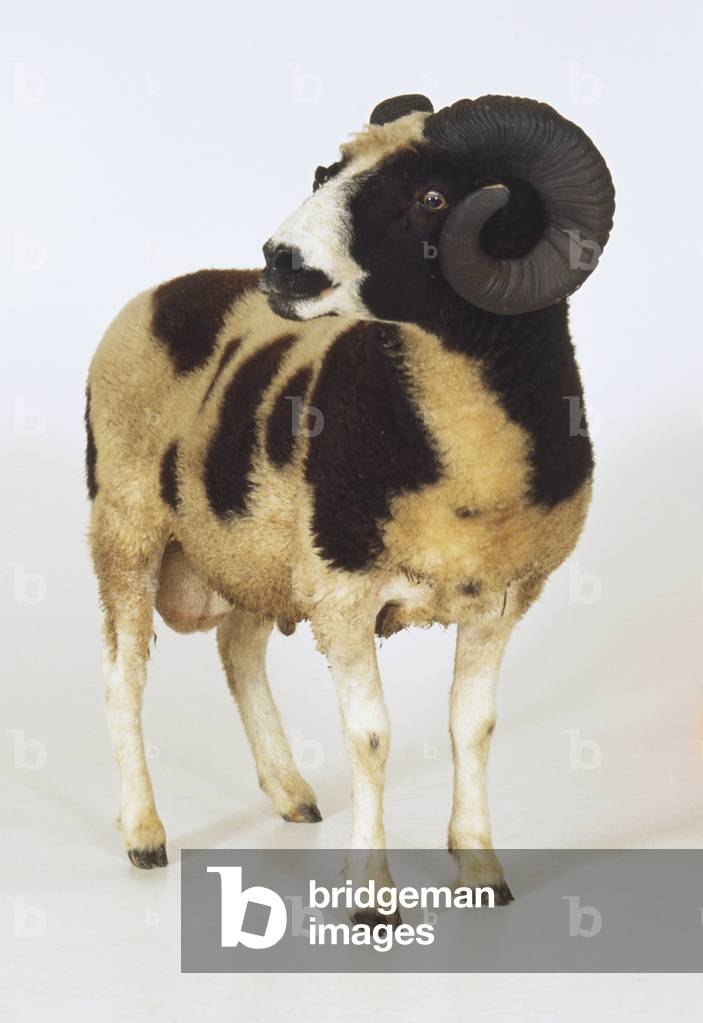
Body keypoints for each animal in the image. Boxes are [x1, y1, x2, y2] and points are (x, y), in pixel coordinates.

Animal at [86, 93, 614, 915]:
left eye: (433, 198)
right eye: (329, 172)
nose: (281, 263)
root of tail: (165, 293)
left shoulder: (500, 601)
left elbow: (473, 727)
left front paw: (481, 869)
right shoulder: (343, 595)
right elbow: (371, 737)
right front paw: (370, 897)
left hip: (256, 553)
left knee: (238, 651)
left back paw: (292, 795)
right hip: (126, 529)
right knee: (124, 676)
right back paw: (144, 834)